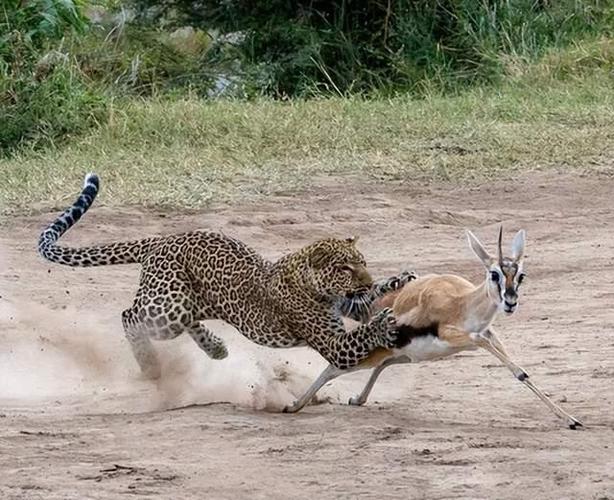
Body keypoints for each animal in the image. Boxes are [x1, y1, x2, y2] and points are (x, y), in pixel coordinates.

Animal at [38, 173, 418, 378]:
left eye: (362, 262)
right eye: (345, 268)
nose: (364, 280)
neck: (315, 285)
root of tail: (162, 239)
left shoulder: (348, 306)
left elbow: (369, 300)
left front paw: (401, 279)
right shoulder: (336, 345)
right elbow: (362, 332)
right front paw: (383, 322)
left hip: (187, 303)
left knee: (179, 319)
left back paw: (216, 348)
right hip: (168, 309)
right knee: (130, 315)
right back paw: (151, 368)